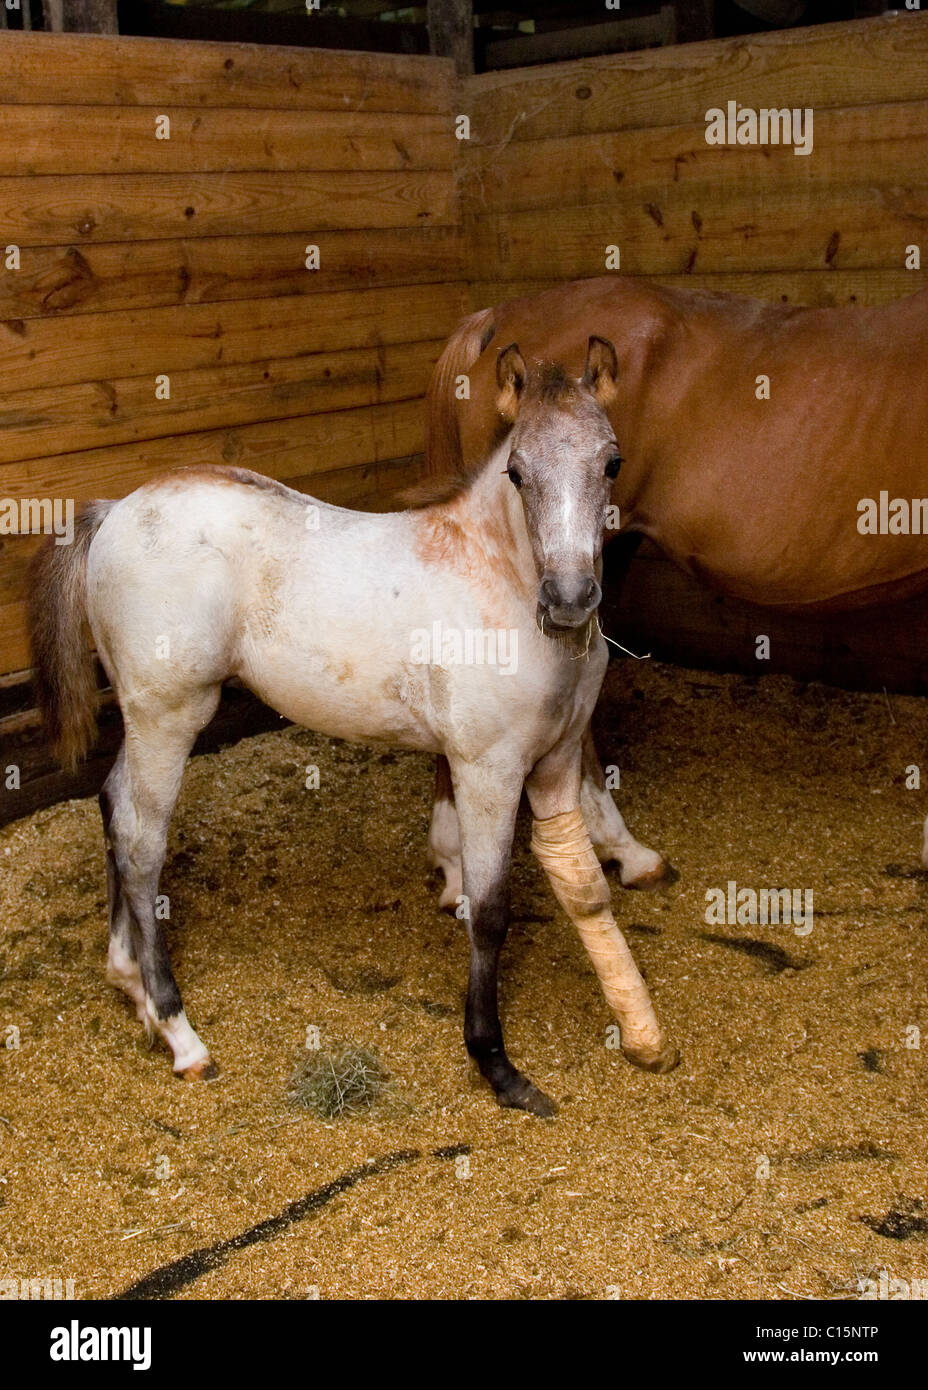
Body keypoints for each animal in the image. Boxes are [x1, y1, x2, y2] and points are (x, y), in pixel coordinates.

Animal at [28, 336, 679, 1118]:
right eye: (518, 472)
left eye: (610, 462)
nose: (571, 599)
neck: (499, 577)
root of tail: (112, 511)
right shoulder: (487, 769)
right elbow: (490, 909)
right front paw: (498, 1065)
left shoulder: (554, 762)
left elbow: (583, 889)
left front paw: (642, 1033)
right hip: (169, 714)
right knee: (139, 842)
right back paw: (180, 1031)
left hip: (145, 715)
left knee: (112, 805)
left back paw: (131, 987)